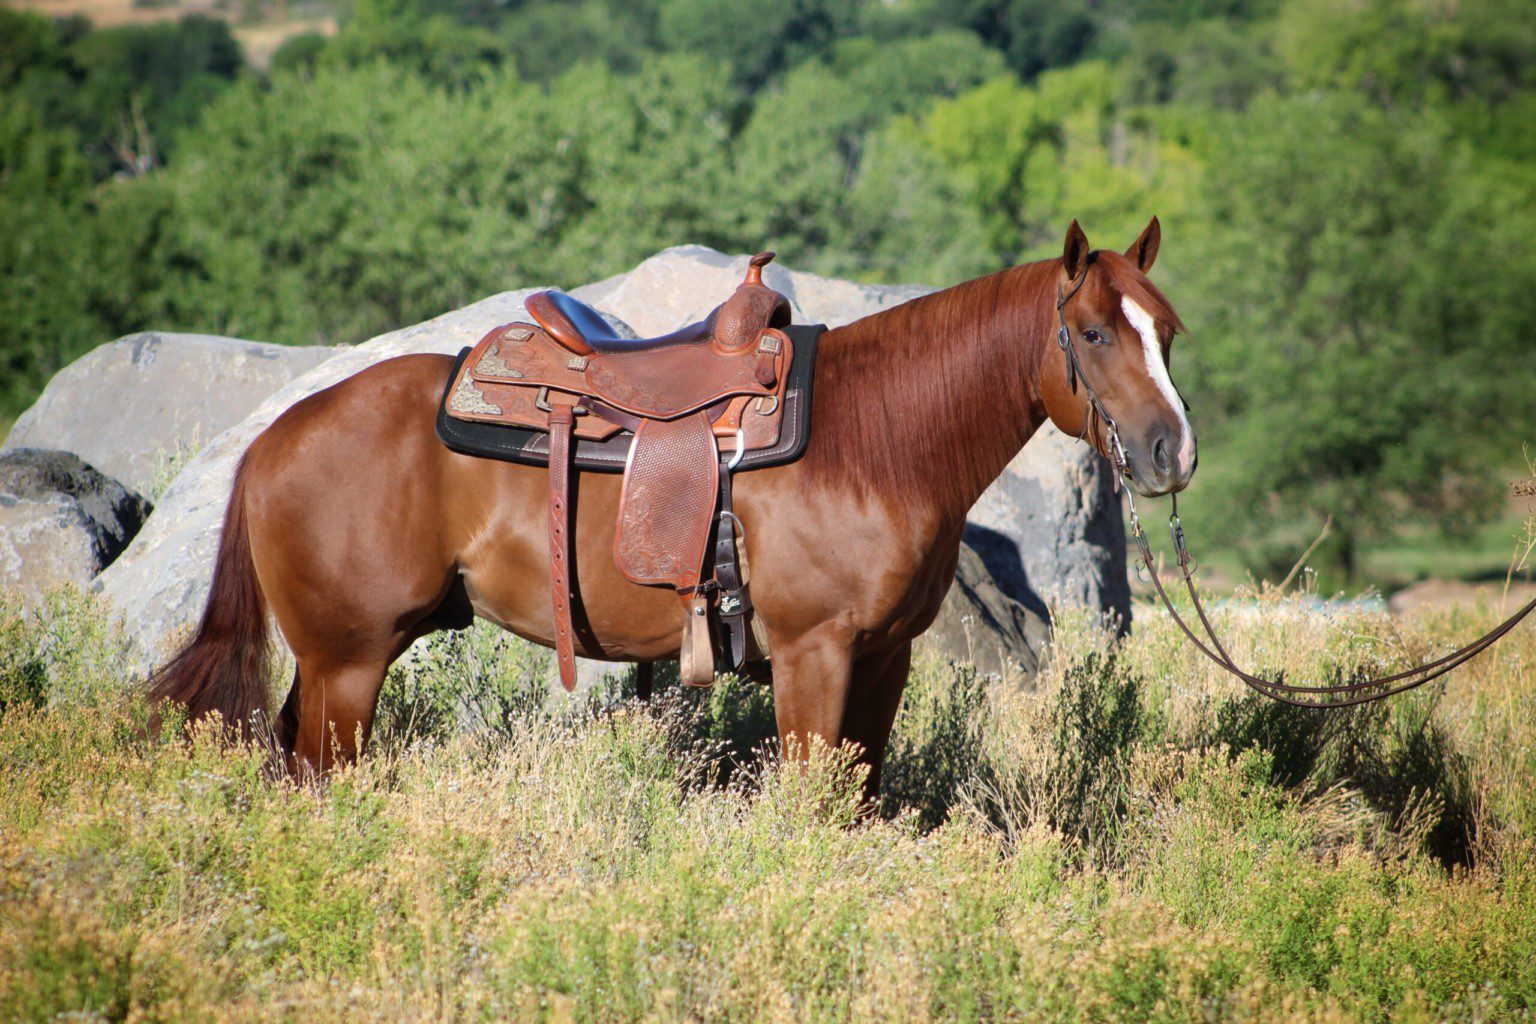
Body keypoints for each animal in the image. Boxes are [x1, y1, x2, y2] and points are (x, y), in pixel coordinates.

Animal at [151, 218, 1197, 796]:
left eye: (1168, 331)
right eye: (1093, 333)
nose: (1172, 452)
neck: (876, 442)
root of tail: (274, 437)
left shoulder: (882, 660)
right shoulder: (813, 656)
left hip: (332, 664)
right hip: (348, 665)